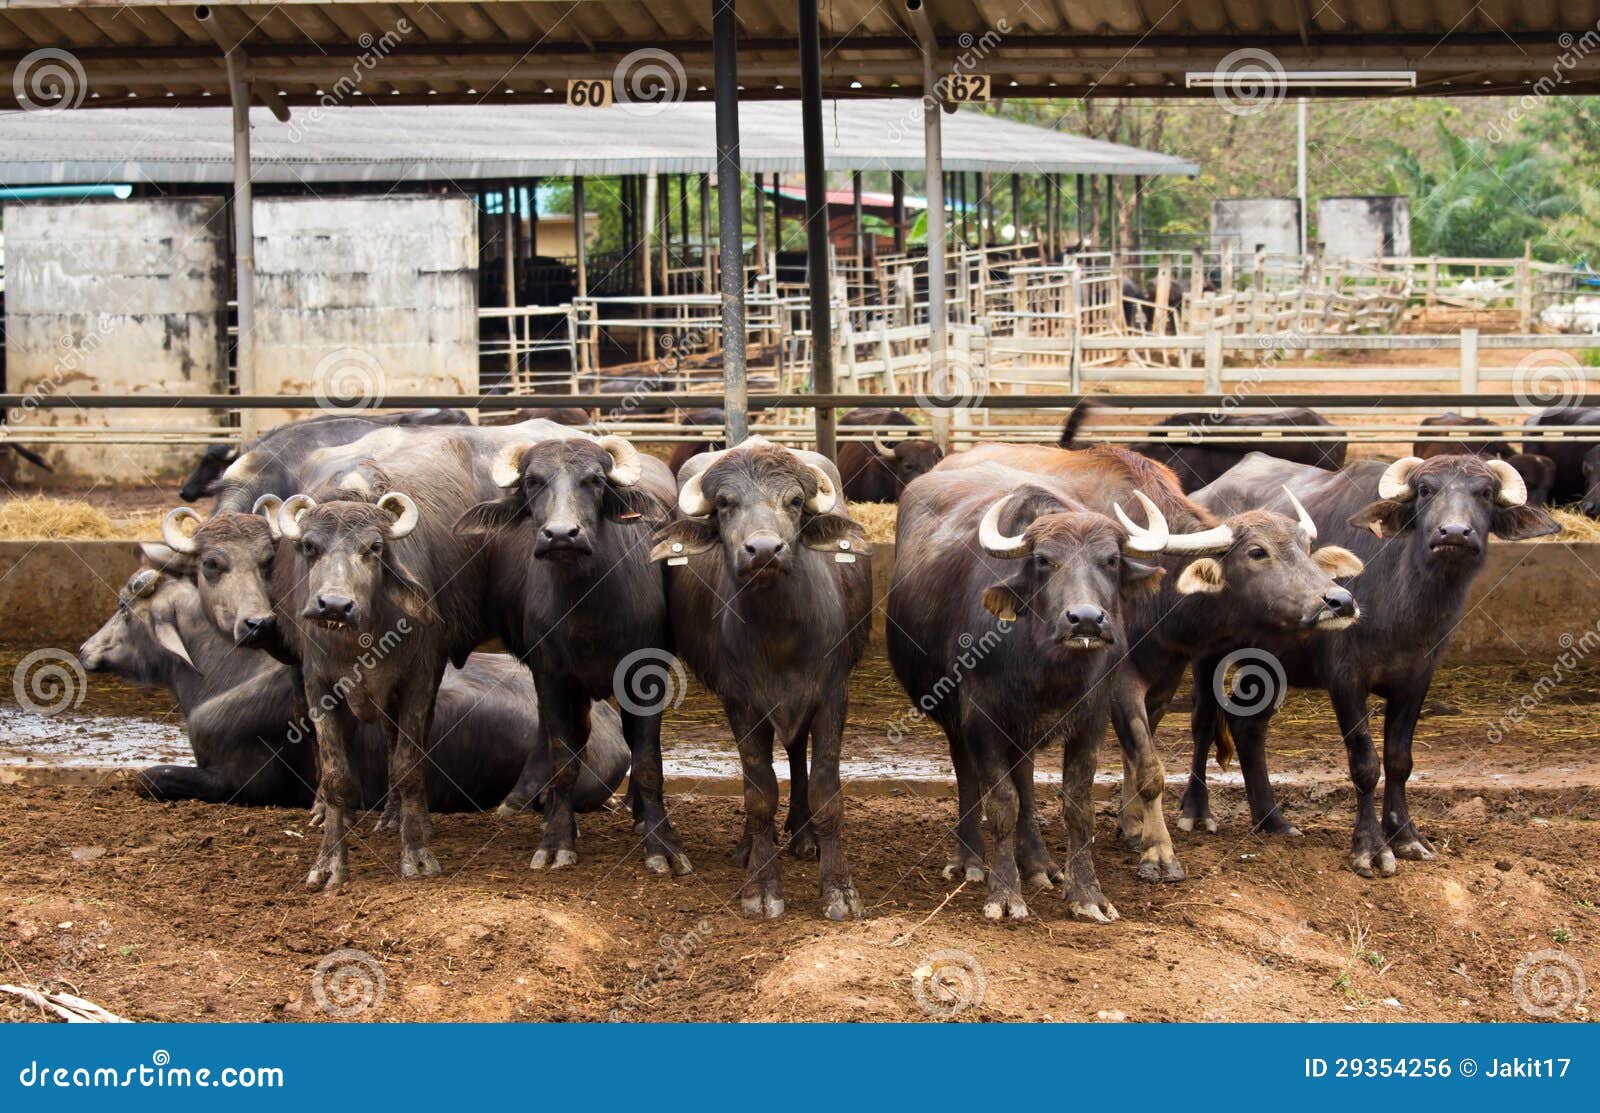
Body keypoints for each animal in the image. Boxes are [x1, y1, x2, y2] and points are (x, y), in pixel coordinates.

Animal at [651, 437, 872, 919]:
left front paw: (840, 889)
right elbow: (759, 791)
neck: (780, 634)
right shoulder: (742, 702)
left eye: (794, 501)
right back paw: (750, 846)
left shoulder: (832, 695)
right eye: (725, 503)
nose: (765, 550)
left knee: (795, 755)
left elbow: (826, 790)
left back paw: (804, 837)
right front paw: (762, 886)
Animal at [1185, 452, 1558, 875]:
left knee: (1248, 726)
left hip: (1269, 662)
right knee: (1202, 721)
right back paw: (1196, 812)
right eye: (1425, 490)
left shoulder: (1417, 678)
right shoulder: (1346, 679)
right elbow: (1365, 763)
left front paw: (1406, 837)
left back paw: (1273, 820)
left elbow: (1399, 760)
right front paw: (1370, 848)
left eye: (1485, 493)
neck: (1405, 603)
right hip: (1207, 653)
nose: (1454, 532)